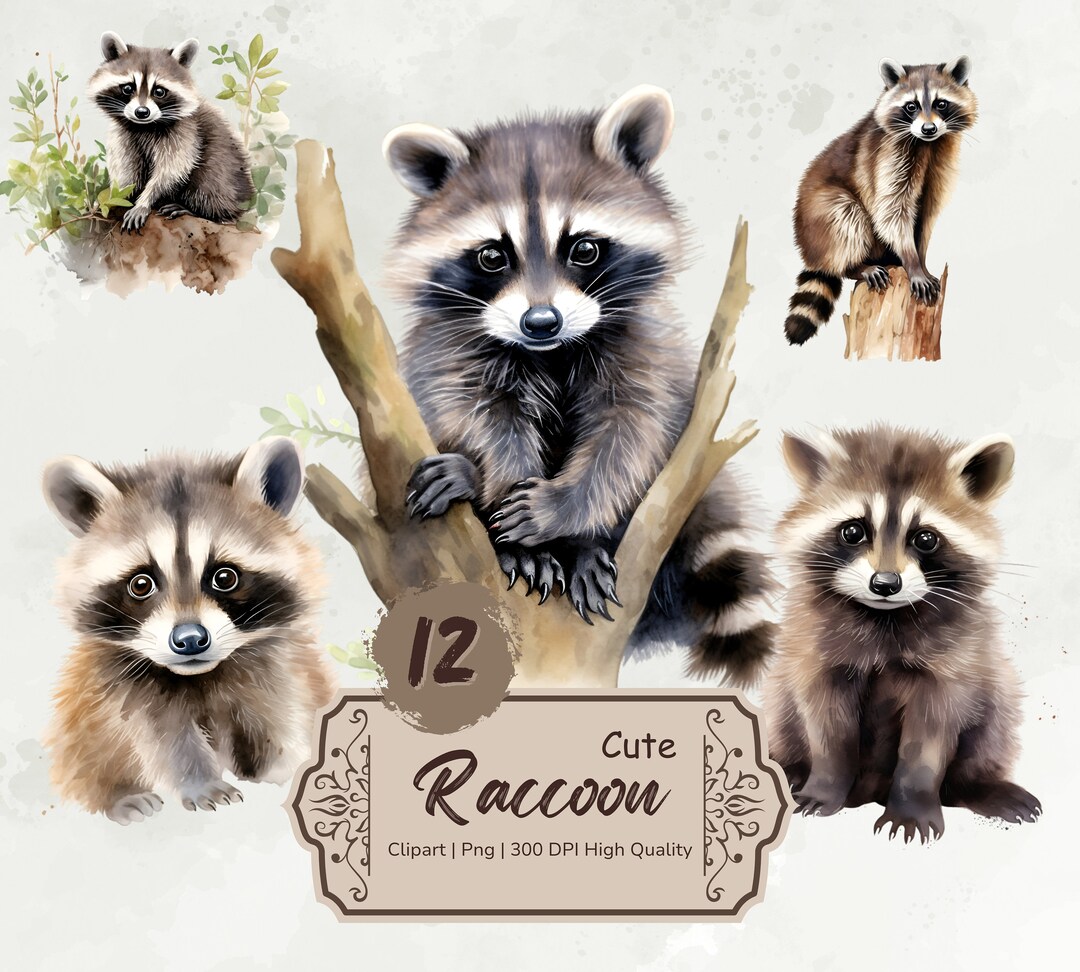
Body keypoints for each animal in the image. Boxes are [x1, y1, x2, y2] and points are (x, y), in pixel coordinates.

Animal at [42, 438, 335, 824]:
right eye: (140, 584)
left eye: (225, 577)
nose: (190, 640)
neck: (203, 676)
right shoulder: (122, 686)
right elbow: (163, 737)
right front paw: (200, 782)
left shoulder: (276, 665)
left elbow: (279, 714)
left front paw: (283, 768)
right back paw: (120, 798)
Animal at [89, 32, 255, 233]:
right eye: (127, 88)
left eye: (159, 91)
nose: (141, 112)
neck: (143, 126)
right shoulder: (124, 135)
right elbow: (128, 169)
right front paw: (117, 195)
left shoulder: (186, 132)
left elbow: (172, 169)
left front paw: (145, 200)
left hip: (225, 172)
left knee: (211, 183)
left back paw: (196, 210)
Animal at [381, 85, 778, 683]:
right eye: (492, 255)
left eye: (584, 248)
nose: (540, 322)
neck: (552, 353)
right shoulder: (449, 349)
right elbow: (474, 411)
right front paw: (492, 482)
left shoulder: (646, 346)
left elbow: (628, 436)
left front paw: (563, 513)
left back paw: (584, 548)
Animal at [765, 426, 1041, 842]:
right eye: (852, 531)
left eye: (925, 538)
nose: (884, 584)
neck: (885, 616)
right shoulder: (813, 647)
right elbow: (827, 726)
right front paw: (824, 787)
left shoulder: (955, 660)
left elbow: (929, 735)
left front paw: (913, 804)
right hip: (781, 700)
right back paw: (789, 770)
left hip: (994, 686)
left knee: (997, 715)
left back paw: (980, 786)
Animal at [784, 56, 977, 345]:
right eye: (911, 106)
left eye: (941, 103)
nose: (928, 128)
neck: (926, 144)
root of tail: (812, 253)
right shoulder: (887, 156)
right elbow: (890, 211)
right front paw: (912, 262)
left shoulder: (941, 160)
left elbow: (926, 214)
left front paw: (920, 259)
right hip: (821, 214)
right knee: (846, 215)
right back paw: (855, 266)